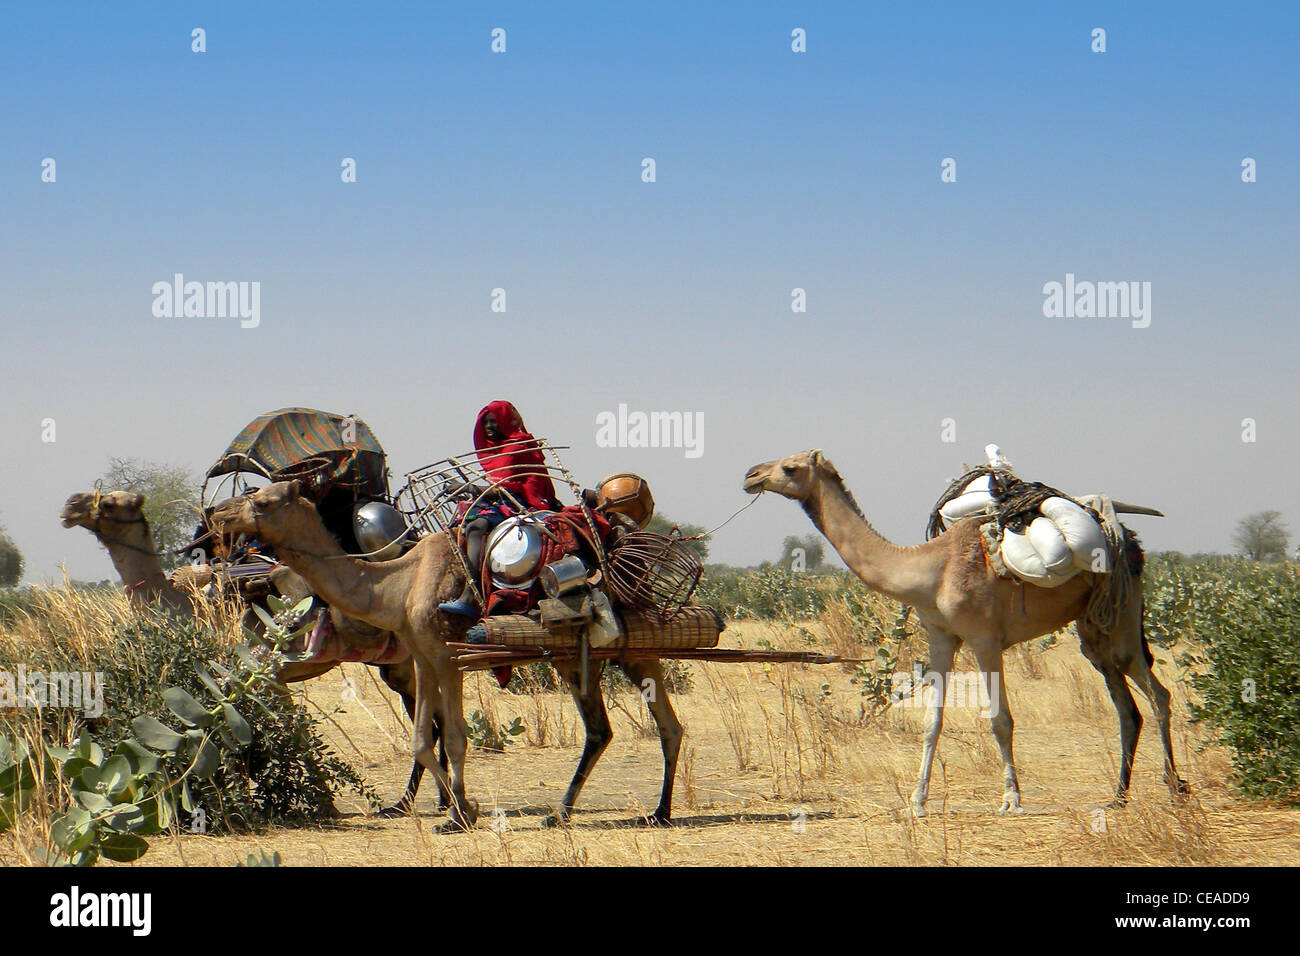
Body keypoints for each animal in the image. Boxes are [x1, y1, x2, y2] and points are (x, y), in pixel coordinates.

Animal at [61, 490, 442, 815]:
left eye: (109, 502)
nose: (70, 506)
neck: (201, 612)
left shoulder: (268, 674)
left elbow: (294, 733)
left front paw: (323, 803)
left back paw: (410, 805)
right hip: (399, 666)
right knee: (431, 721)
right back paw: (425, 803)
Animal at [210, 481, 687, 827]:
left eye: (263, 500)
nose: (218, 513)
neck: (398, 583)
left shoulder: (447, 655)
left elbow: (456, 737)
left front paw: (462, 813)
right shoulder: (421, 657)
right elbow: (423, 739)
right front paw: (460, 808)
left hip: (602, 647)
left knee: (619, 726)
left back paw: (580, 812)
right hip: (613, 650)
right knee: (652, 725)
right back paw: (647, 813)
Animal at [743, 450, 1187, 817]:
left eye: (790, 467)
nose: (751, 474)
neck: (929, 570)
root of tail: (1128, 539)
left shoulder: (984, 639)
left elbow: (1000, 720)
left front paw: (1011, 799)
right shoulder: (941, 638)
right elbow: (931, 722)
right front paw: (917, 803)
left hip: (1122, 616)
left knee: (1158, 694)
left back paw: (1174, 789)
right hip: (1093, 626)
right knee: (1126, 706)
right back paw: (1118, 797)